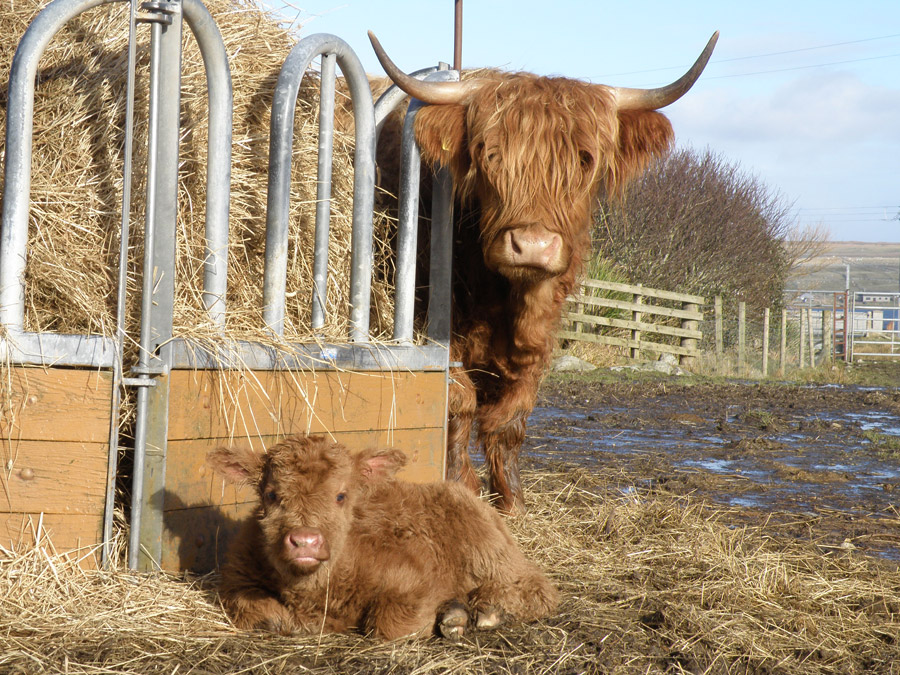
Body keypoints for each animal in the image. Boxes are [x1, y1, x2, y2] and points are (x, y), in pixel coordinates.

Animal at [207, 434, 558, 640]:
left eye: (341, 496)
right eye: (271, 494)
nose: (304, 541)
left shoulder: (415, 578)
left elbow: (388, 627)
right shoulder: (235, 578)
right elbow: (258, 612)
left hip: (490, 550)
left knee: (537, 587)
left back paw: (488, 612)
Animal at [369, 31, 718, 515]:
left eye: (586, 159)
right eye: (489, 154)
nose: (532, 245)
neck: (506, 302)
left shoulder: (541, 336)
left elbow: (512, 418)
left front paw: (512, 501)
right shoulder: (432, 328)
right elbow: (457, 403)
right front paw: (463, 488)